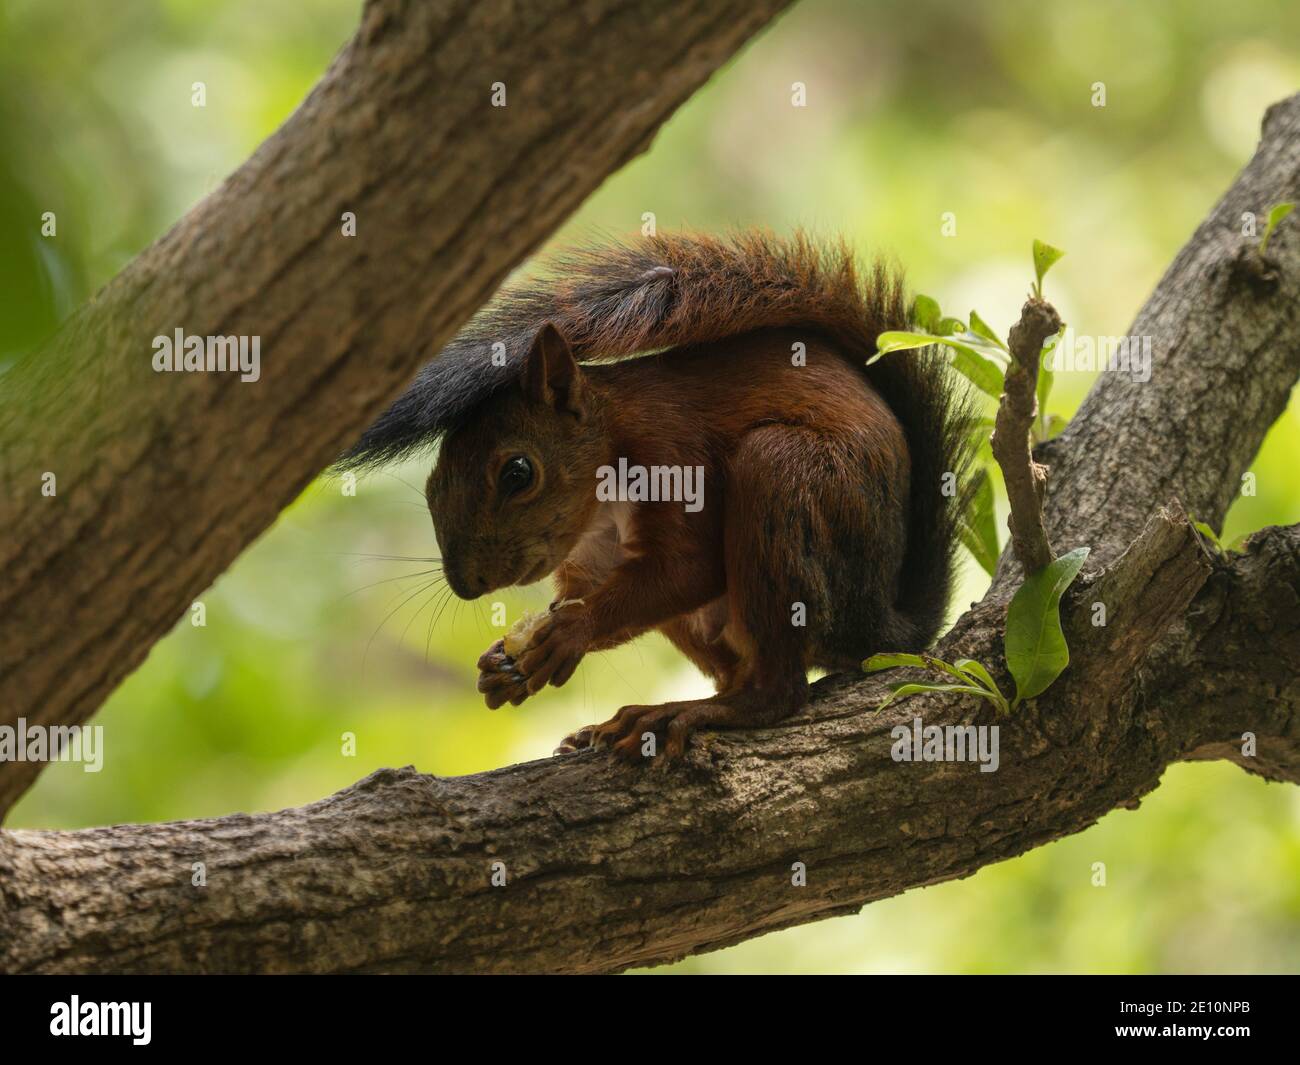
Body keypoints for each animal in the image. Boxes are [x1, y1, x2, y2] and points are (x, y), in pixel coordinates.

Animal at [341, 230, 972, 762]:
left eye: (518, 472)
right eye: (431, 487)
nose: (465, 585)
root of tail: (882, 623)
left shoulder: (675, 451)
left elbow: (690, 567)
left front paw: (570, 631)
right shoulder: (594, 553)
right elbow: (589, 587)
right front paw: (505, 663)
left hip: (787, 476)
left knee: (778, 691)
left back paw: (688, 714)